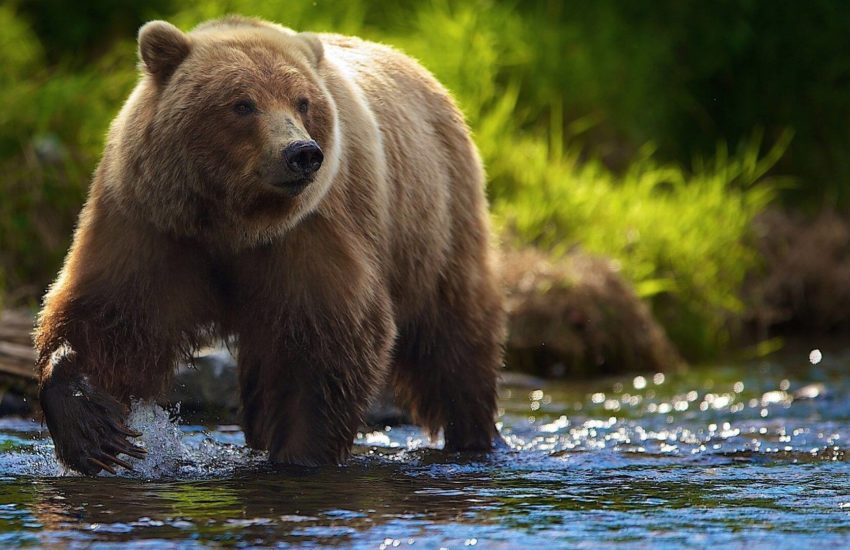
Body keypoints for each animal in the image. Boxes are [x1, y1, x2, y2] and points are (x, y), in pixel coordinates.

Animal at [34, 15, 504, 476]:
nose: (302, 153)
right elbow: (111, 314)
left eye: (302, 102)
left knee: (453, 338)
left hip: (436, 224)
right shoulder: (154, 223)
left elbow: (324, 344)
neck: (231, 221)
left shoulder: (308, 232)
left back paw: (473, 436)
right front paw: (92, 425)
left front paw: (301, 454)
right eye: (242, 103)